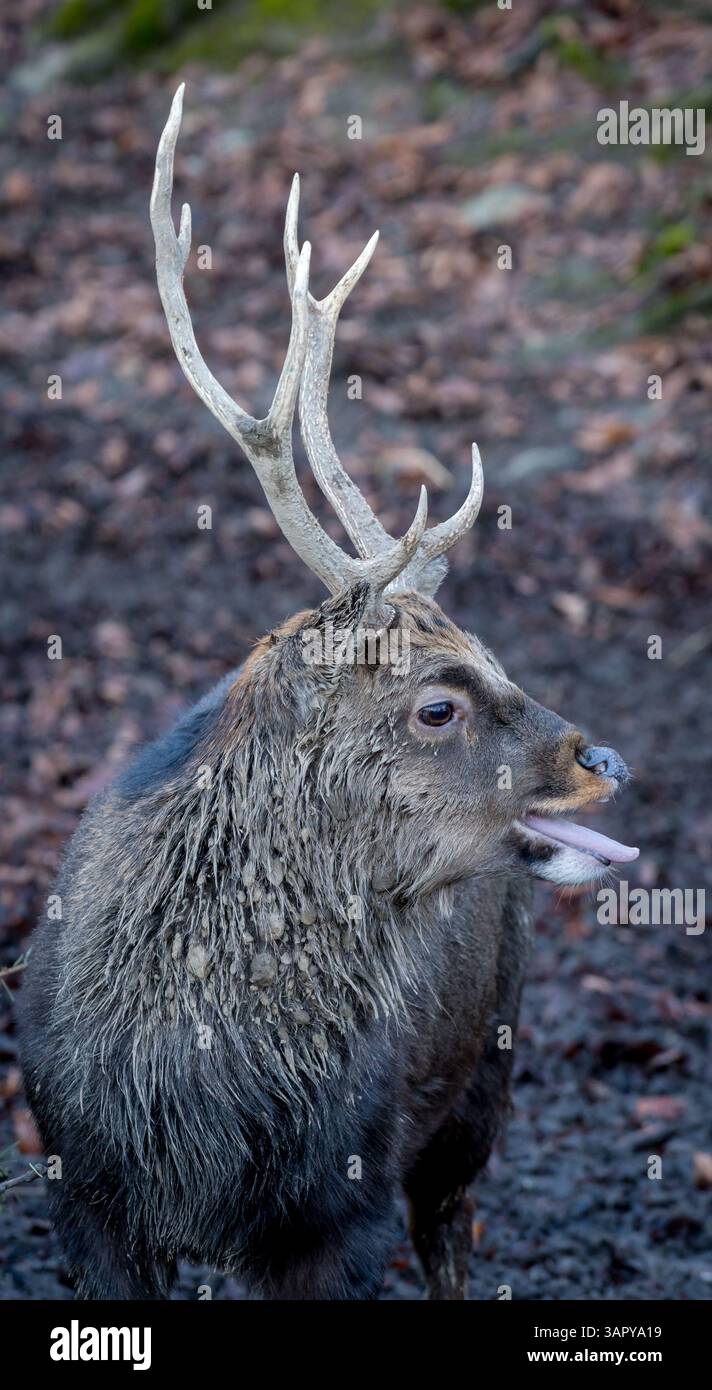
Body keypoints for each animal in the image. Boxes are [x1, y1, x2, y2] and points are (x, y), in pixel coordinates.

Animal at [20, 86, 639, 1301]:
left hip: (483, 1075)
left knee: (450, 1232)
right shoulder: (82, 1193)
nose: (602, 758)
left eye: (492, 651)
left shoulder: (336, 1200)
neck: (194, 1107)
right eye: (436, 703)